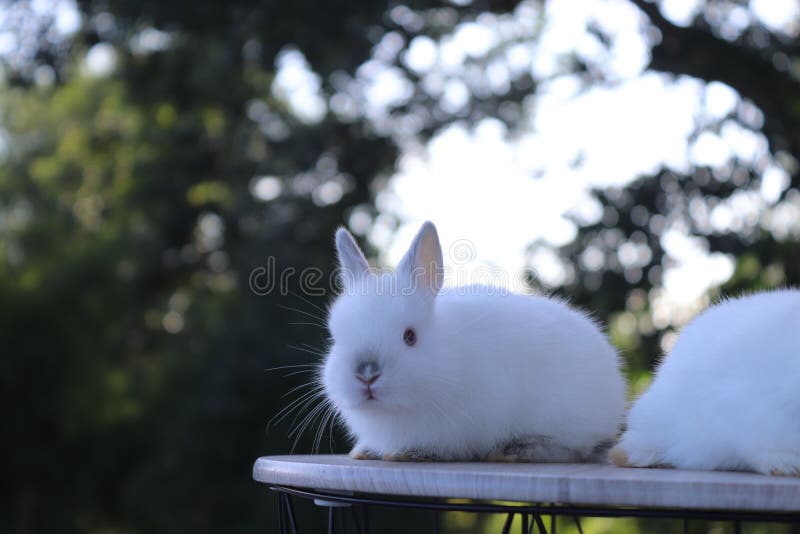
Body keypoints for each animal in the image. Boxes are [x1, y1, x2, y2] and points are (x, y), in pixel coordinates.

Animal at [321, 221, 626, 462]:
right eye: (336, 337)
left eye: (410, 336)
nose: (367, 374)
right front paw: (365, 451)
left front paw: (407, 453)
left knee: (573, 450)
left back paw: (517, 449)